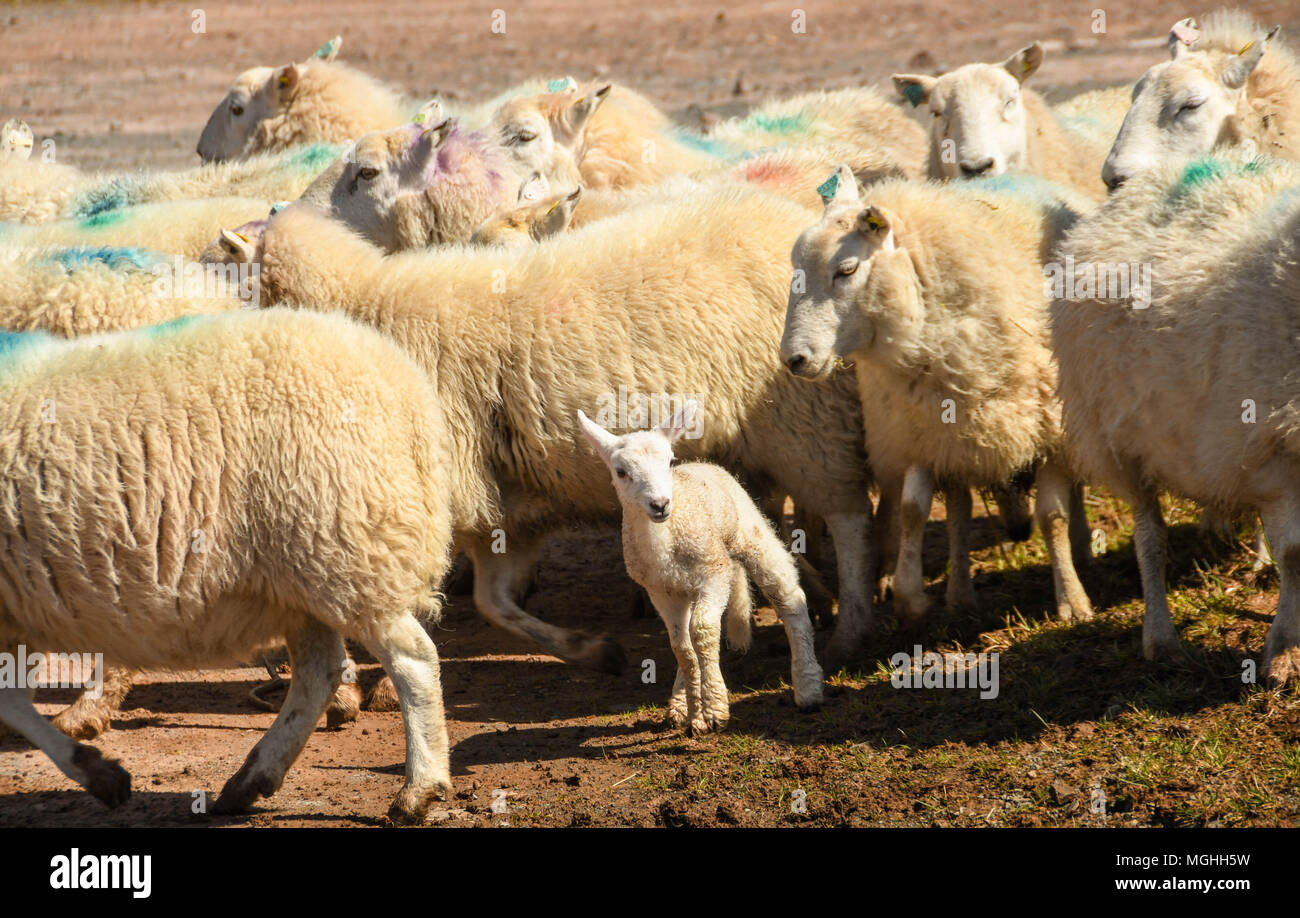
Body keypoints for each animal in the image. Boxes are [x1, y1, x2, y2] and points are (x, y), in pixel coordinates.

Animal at [0, 308, 456, 822]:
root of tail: (407, 386)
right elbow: (9, 699)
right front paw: (99, 772)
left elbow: (9, 701)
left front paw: (98, 771)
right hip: (303, 575)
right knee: (319, 672)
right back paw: (250, 780)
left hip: (344, 550)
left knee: (411, 658)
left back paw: (419, 788)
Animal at [208, 184, 881, 674]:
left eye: (230, 263)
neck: (364, 305)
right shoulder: (499, 500)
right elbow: (494, 603)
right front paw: (589, 649)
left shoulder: (453, 486)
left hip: (805, 417)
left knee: (849, 519)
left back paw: (850, 627)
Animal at [577, 403, 824, 733]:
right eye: (621, 472)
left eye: (669, 462)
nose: (660, 504)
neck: (665, 545)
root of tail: (704, 464)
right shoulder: (660, 591)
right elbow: (682, 647)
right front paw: (697, 712)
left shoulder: (714, 574)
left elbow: (703, 631)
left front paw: (716, 709)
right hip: (688, 586)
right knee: (688, 639)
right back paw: (683, 705)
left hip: (749, 532)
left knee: (789, 598)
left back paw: (808, 687)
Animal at [780, 165, 1093, 633]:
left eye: (846, 269)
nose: (794, 359)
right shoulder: (918, 433)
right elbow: (913, 511)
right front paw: (912, 600)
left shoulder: (1047, 425)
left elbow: (1052, 516)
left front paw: (1072, 600)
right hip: (958, 436)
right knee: (960, 512)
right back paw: (960, 594)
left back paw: (1084, 549)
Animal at [1050, 154, 1300, 685]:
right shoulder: (1275, 452)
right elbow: (1295, 555)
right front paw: (1283, 653)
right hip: (1115, 440)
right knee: (1149, 535)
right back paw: (1160, 639)